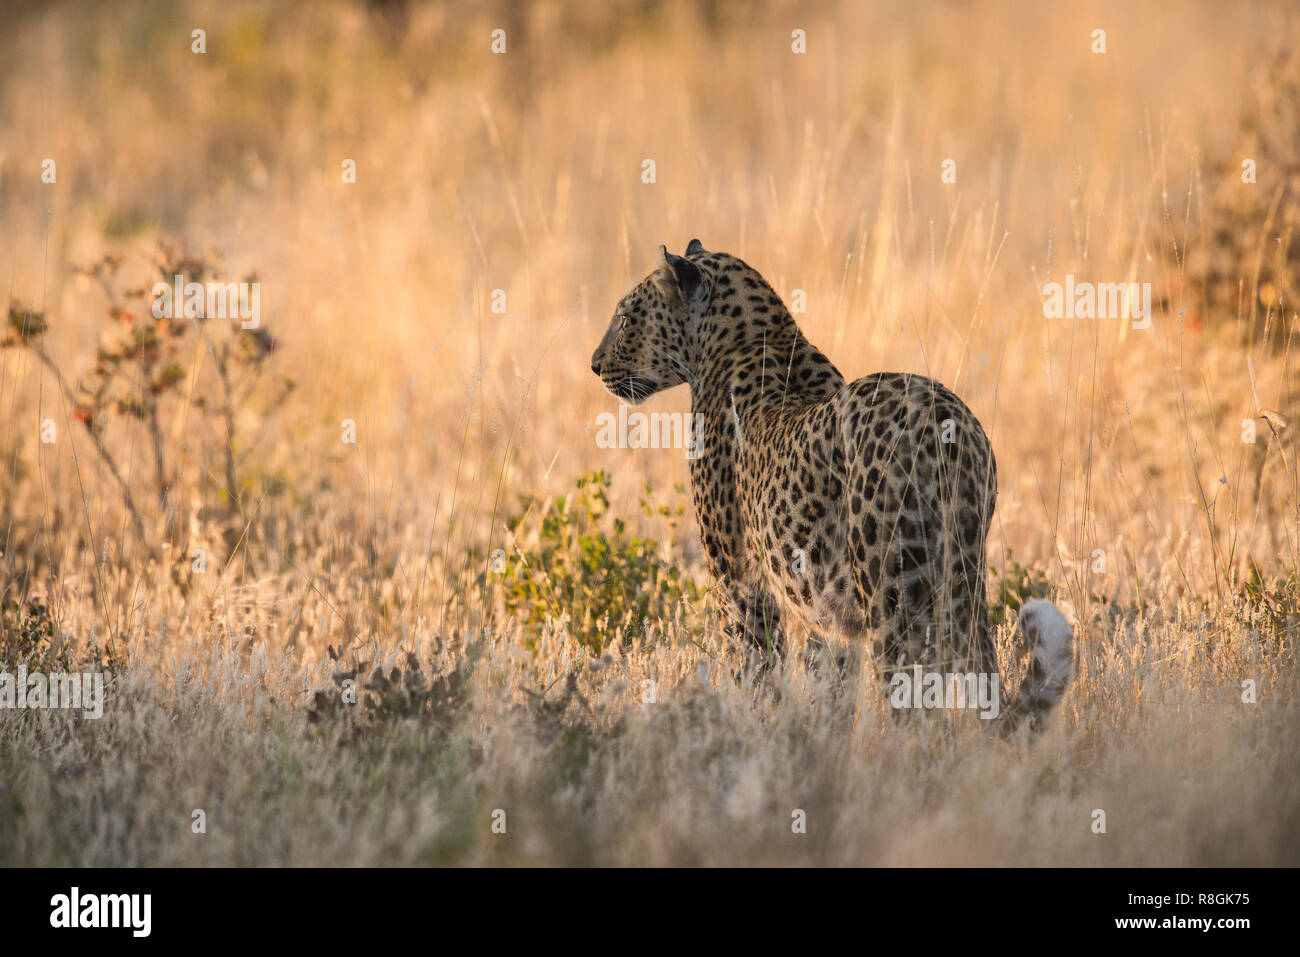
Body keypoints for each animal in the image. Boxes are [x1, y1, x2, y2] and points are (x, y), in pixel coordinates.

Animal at [591, 239, 1074, 735]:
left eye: (626, 317)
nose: (595, 365)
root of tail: (950, 424)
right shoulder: (828, 617)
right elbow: (829, 686)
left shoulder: (737, 581)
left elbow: (756, 674)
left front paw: (752, 733)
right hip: (962, 579)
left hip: (893, 593)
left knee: (911, 700)